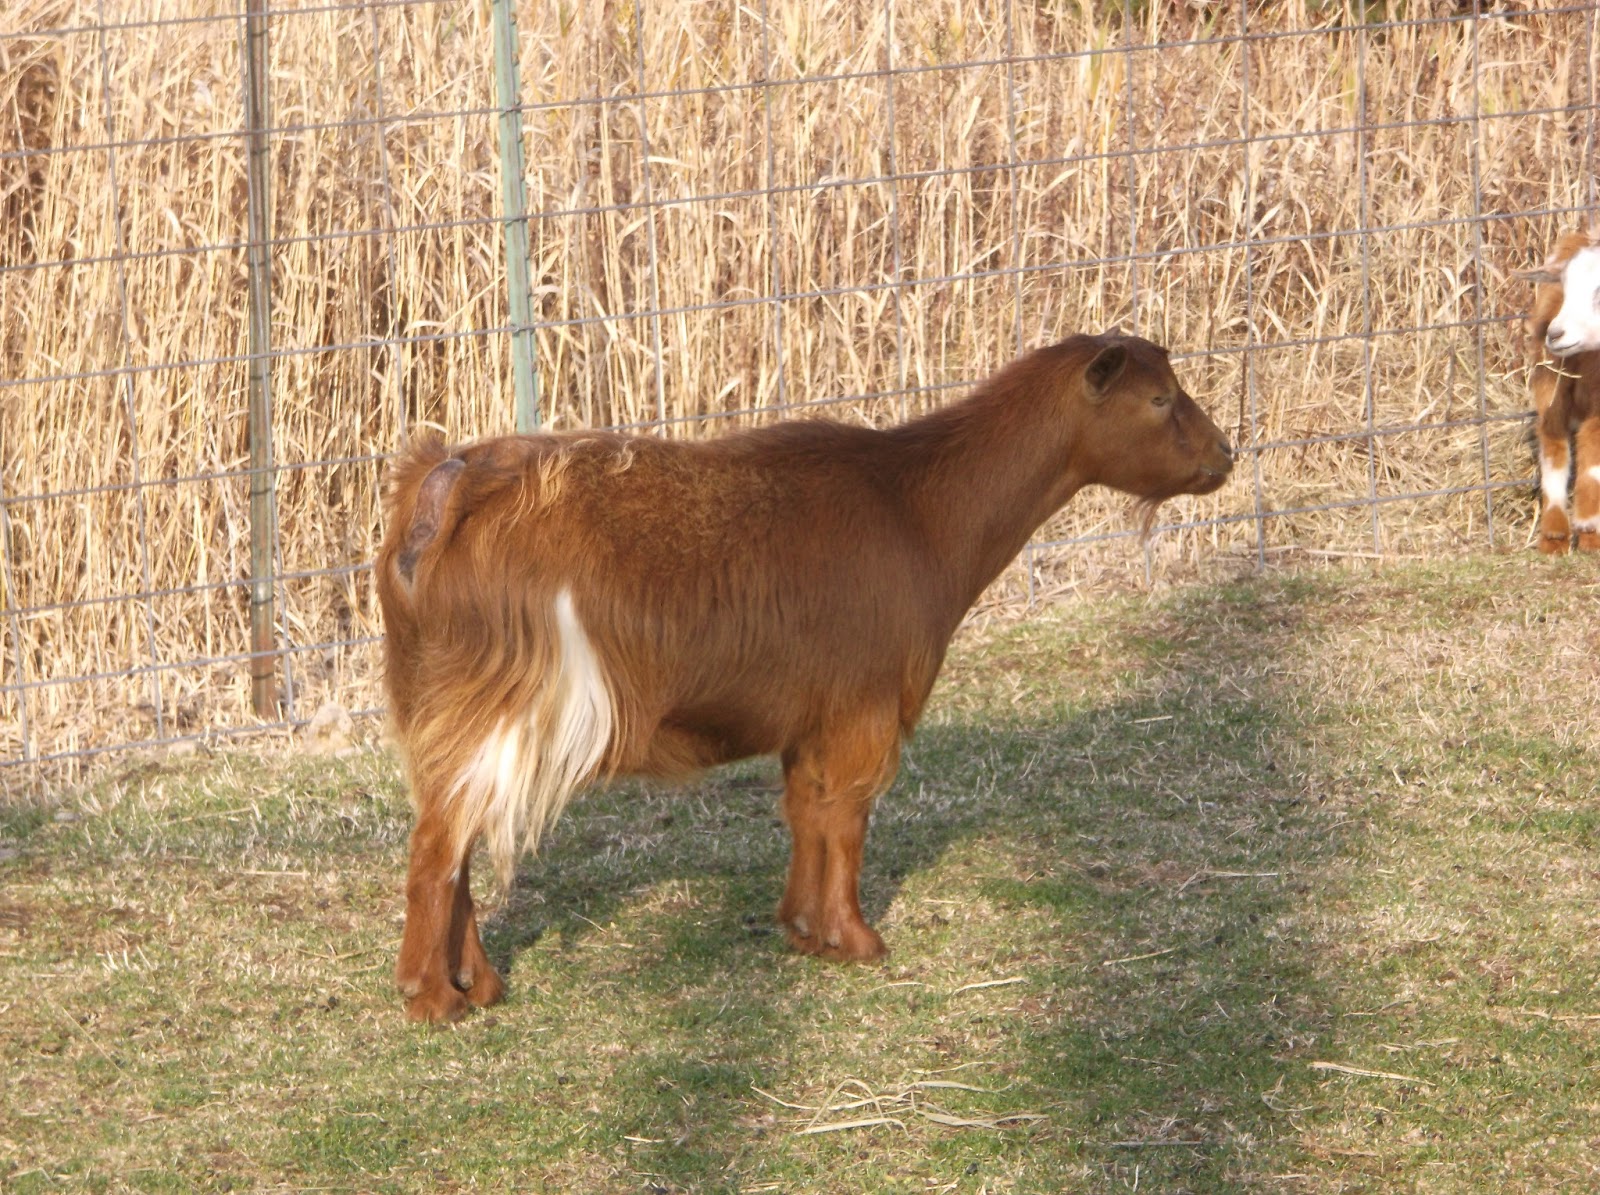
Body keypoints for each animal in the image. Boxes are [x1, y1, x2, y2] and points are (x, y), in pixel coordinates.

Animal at [376, 331, 1235, 1023]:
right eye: (1160, 398)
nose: (1226, 455)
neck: (919, 506)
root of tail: (445, 484)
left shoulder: (813, 715)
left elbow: (806, 811)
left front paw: (803, 930)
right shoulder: (866, 704)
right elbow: (846, 815)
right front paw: (857, 938)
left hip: (439, 707)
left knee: (452, 840)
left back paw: (478, 983)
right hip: (503, 704)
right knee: (439, 847)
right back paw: (434, 997)